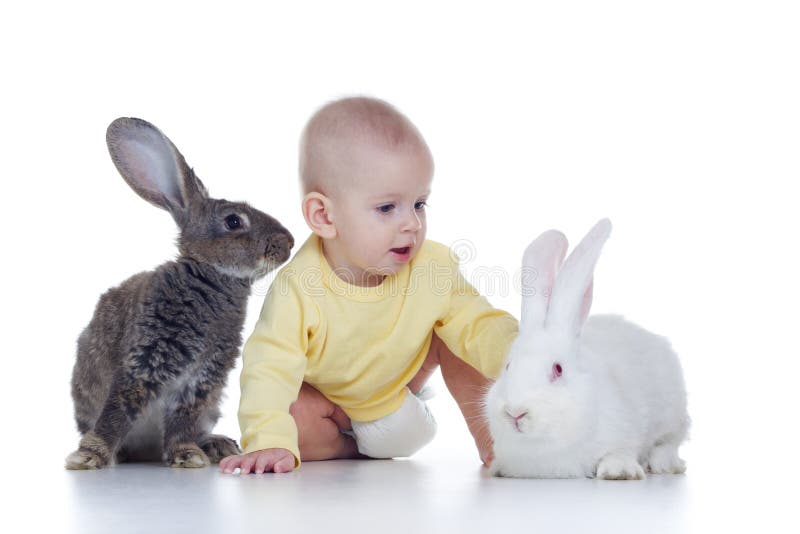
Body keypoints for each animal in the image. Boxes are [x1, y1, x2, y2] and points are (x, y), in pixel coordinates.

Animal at [66, 118, 294, 470]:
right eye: (233, 221)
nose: (288, 242)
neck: (209, 277)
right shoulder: (142, 364)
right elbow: (118, 411)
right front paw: (89, 456)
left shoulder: (199, 382)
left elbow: (182, 420)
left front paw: (187, 455)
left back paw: (214, 445)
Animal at [486, 219, 689, 479]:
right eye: (508, 367)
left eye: (558, 369)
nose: (515, 412)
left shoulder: (624, 429)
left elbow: (620, 451)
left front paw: (618, 471)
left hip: (673, 414)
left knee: (669, 442)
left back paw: (664, 464)